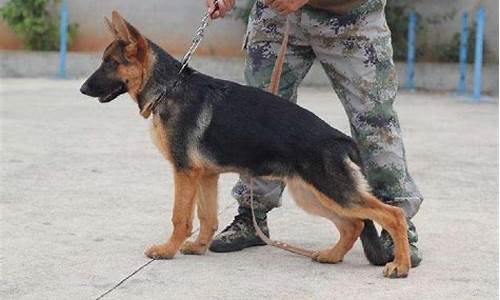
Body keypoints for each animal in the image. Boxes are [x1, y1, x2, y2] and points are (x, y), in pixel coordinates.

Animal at [81, 11, 410, 278]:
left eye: (111, 63)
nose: (82, 88)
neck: (168, 88)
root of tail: (341, 138)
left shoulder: (184, 173)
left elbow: (180, 217)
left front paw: (167, 250)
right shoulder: (205, 176)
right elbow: (207, 217)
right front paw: (199, 246)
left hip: (332, 191)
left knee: (393, 215)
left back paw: (400, 265)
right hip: (312, 194)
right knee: (353, 225)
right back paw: (332, 255)